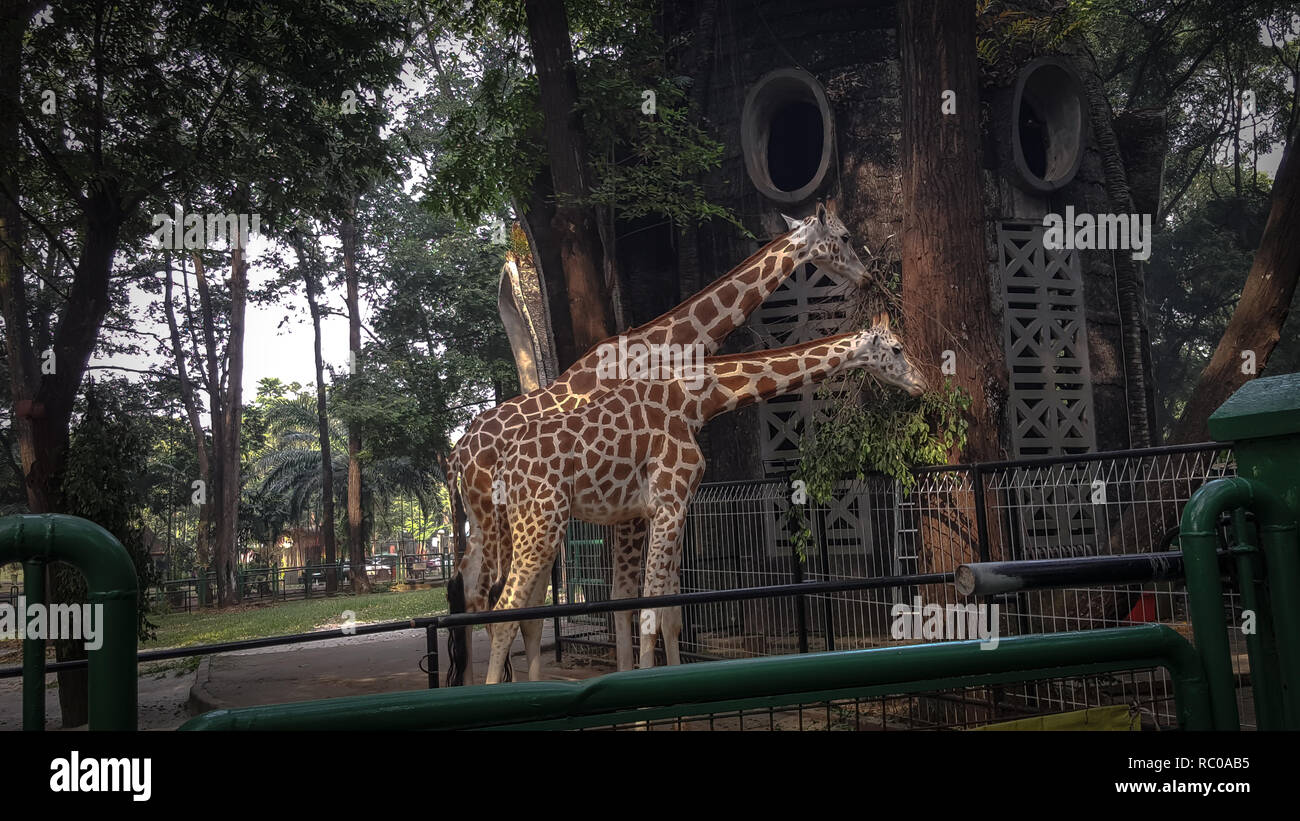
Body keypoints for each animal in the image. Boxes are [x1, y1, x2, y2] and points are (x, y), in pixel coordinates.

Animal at [446, 202, 871, 685]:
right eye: (844, 236)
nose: (866, 277)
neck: (667, 345)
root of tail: (457, 455)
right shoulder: (634, 499)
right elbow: (628, 597)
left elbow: (642, 602)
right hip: (503, 518)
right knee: (491, 596)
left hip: (491, 523)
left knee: (474, 589)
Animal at [485, 315, 926, 684]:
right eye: (897, 349)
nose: (922, 384)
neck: (697, 400)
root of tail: (505, 467)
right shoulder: (667, 503)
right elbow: (649, 613)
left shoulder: (677, 506)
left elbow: (672, 615)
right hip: (539, 525)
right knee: (503, 614)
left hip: (540, 528)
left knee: (525, 615)